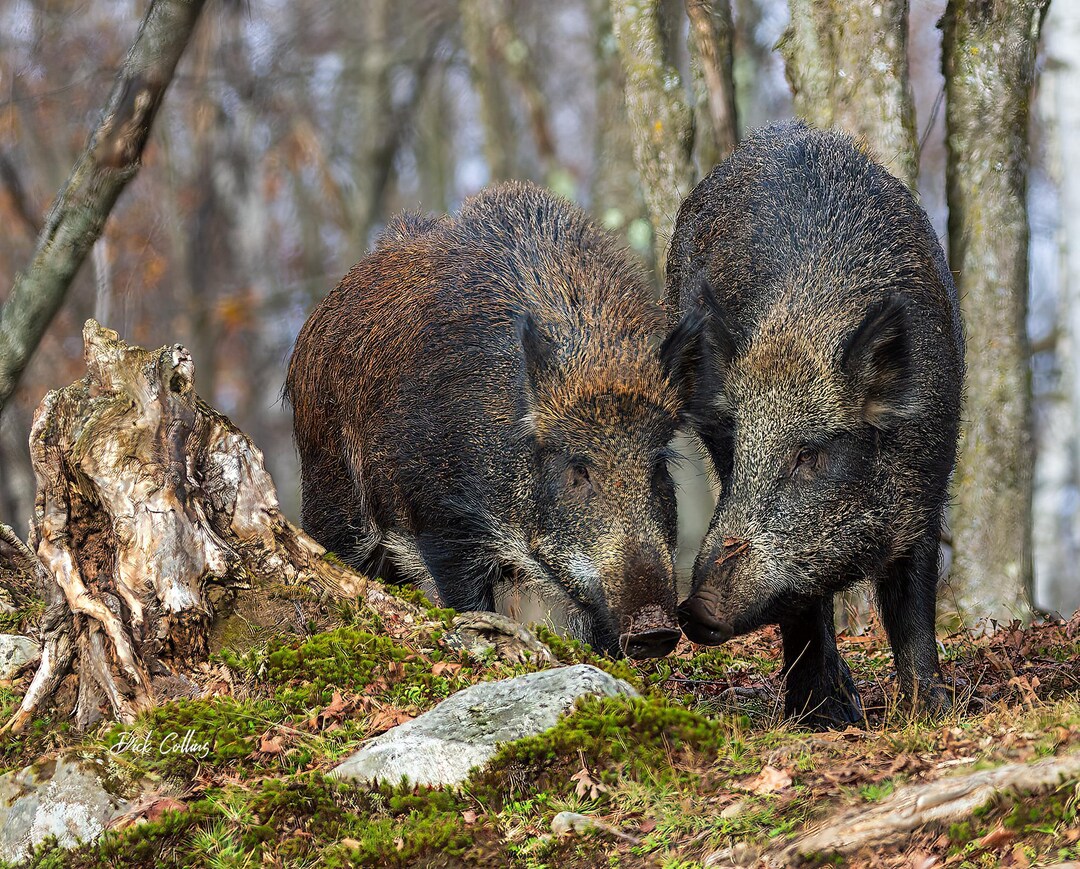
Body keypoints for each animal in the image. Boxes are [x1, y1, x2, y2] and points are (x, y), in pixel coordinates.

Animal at [285, 181, 706, 659]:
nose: (655, 630)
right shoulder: (442, 517)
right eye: (577, 469)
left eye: (658, 466)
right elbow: (465, 598)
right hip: (332, 488)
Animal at [666, 121, 964, 725]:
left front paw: (933, 711)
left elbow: (913, 600)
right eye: (738, 445)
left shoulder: (927, 483)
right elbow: (805, 604)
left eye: (810, 454)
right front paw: (823, 717)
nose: (693, 610)